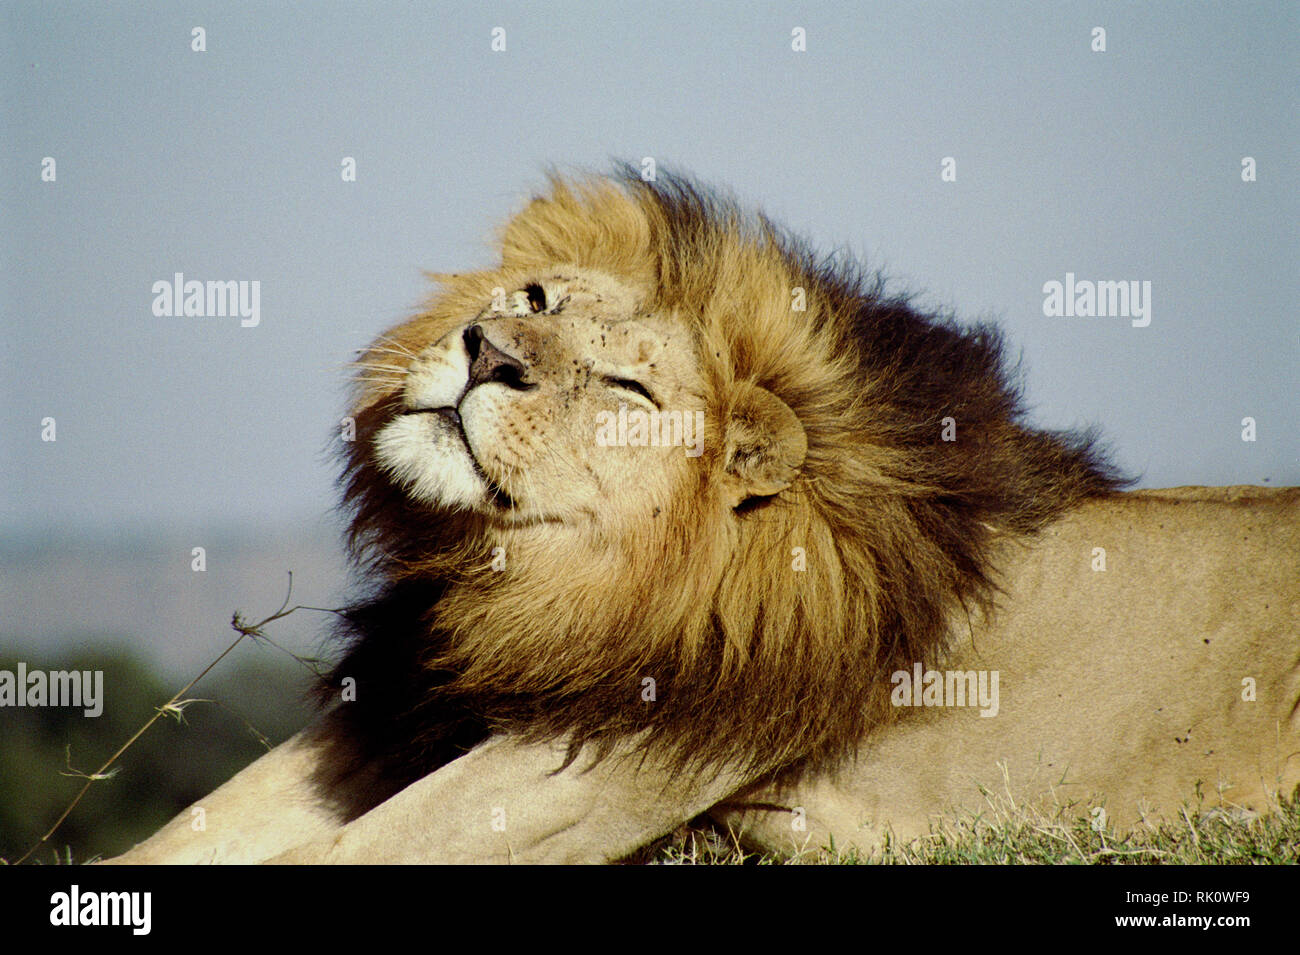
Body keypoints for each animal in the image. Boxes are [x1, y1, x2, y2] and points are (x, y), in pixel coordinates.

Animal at [108, 169, 1299, 864]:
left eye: (627, 390)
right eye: (533, 300)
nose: (486, 350)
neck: (525, 579)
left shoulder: (582, 773)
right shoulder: (412, 706)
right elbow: (181, 839)